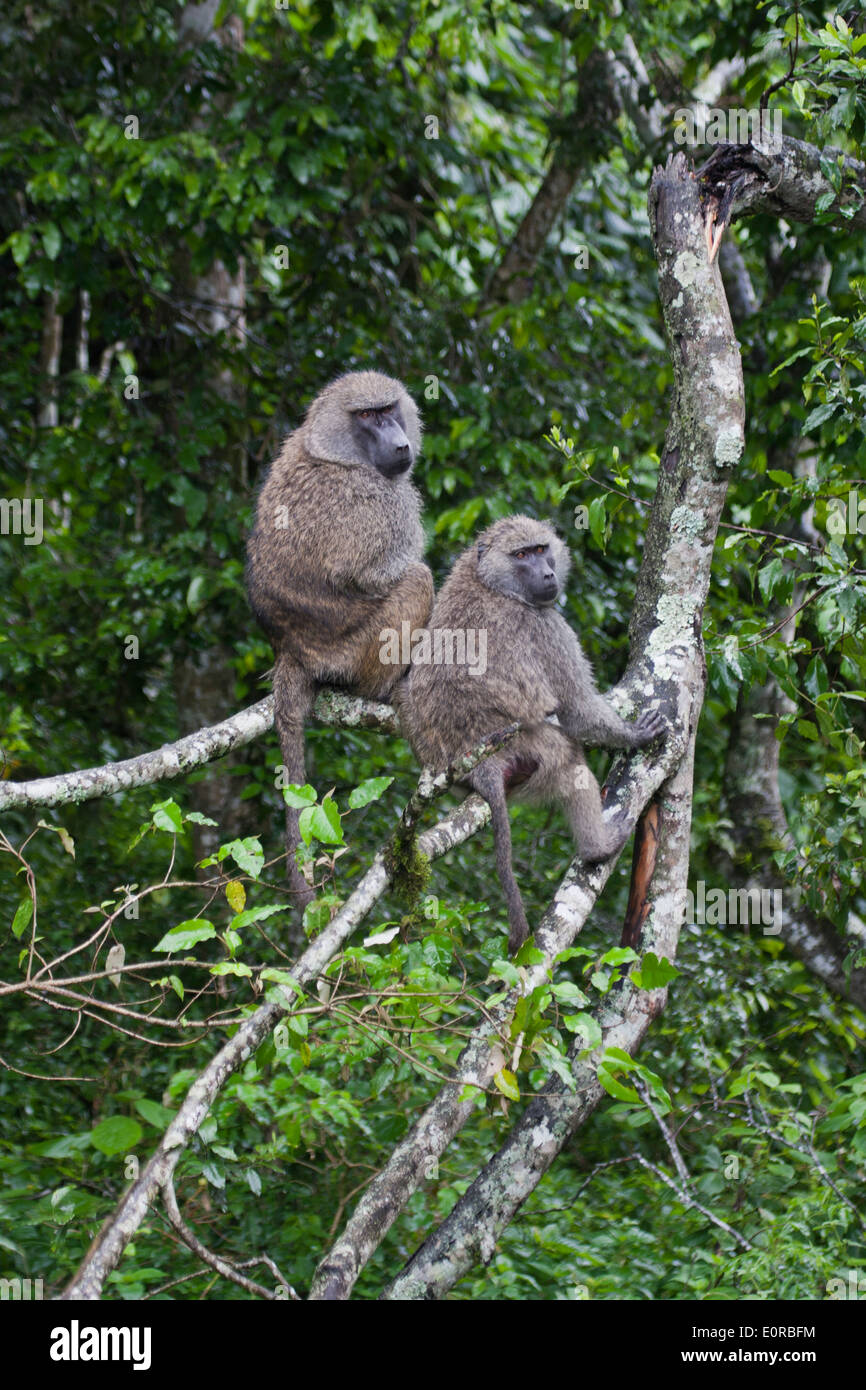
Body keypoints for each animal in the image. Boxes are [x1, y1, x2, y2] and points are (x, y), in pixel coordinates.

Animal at [245, 371, 434, 909]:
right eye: (367, 416)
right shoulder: (385, 503)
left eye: (389, 410)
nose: (400, 443)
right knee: (418, 579)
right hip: (350, 652)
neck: (331, 451)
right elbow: (376, 574)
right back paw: (383, 689)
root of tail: (290, 650)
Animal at [396, 515, 665, 954]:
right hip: (533, 751)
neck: (489, 580)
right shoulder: (546, 626)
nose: (547, 575)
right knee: (571, 759)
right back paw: (598, 847)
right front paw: (635, 736)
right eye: (521, 555)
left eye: (541, 549)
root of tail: (478, 763)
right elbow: (576, 709)